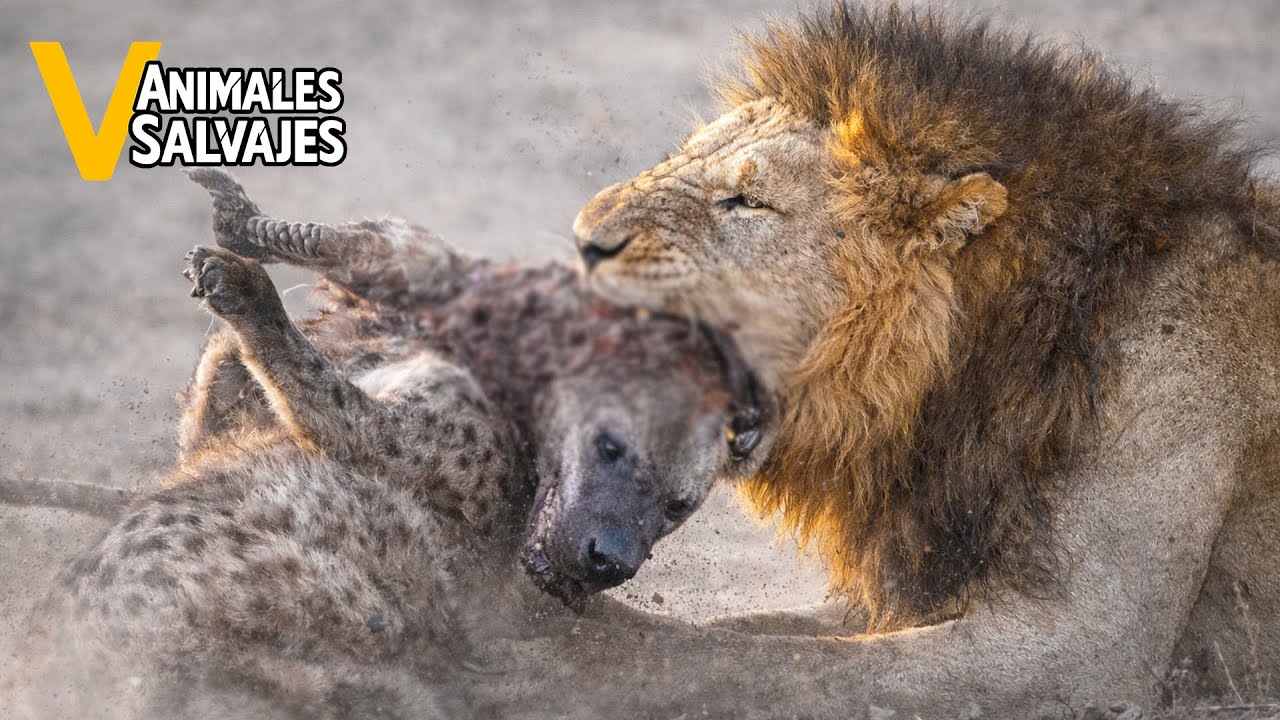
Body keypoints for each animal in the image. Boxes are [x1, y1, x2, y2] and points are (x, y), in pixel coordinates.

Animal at [542, 3, 1280, 717]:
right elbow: (752, 633)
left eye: (747, 201)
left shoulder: (1086, 645)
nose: (583, 240)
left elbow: (771, 666)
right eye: (681, 159)